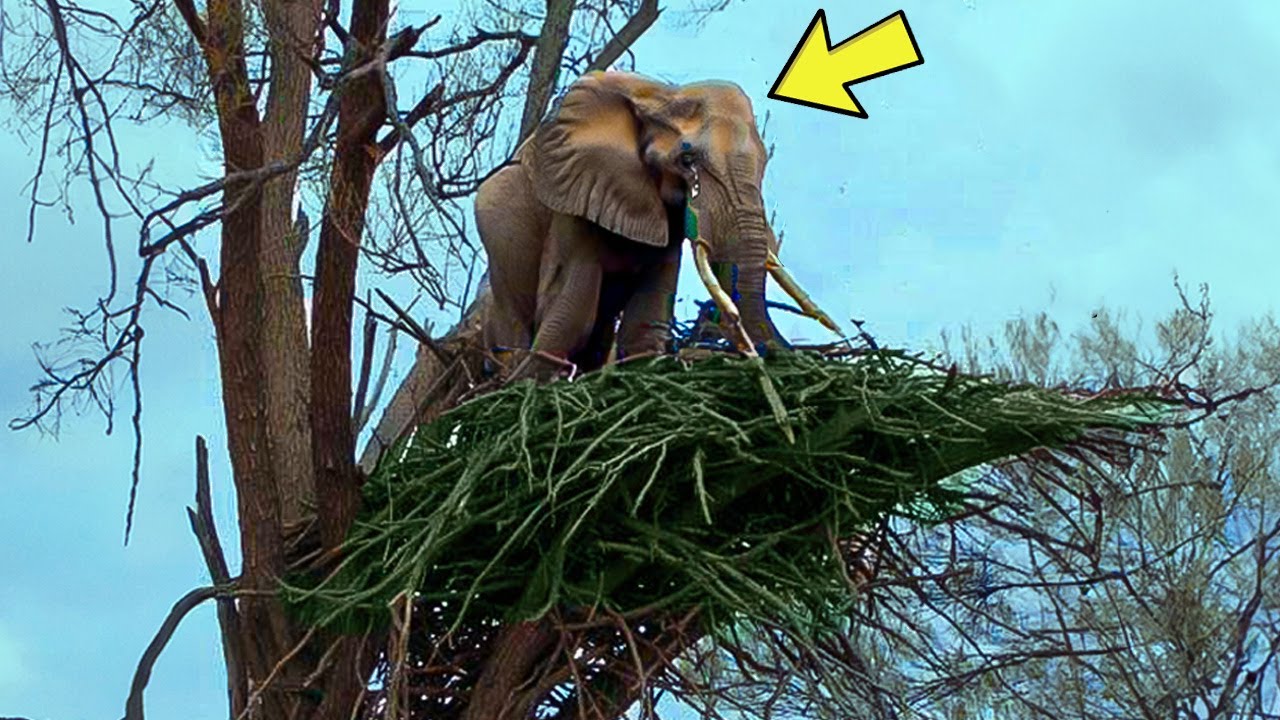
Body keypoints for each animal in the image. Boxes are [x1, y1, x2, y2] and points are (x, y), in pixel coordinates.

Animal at [475, 70, 837, 379]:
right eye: (687, 160)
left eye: (764, 163)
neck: (664, 95)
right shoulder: (574, 195)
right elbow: (572, 312)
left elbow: (645, 319)